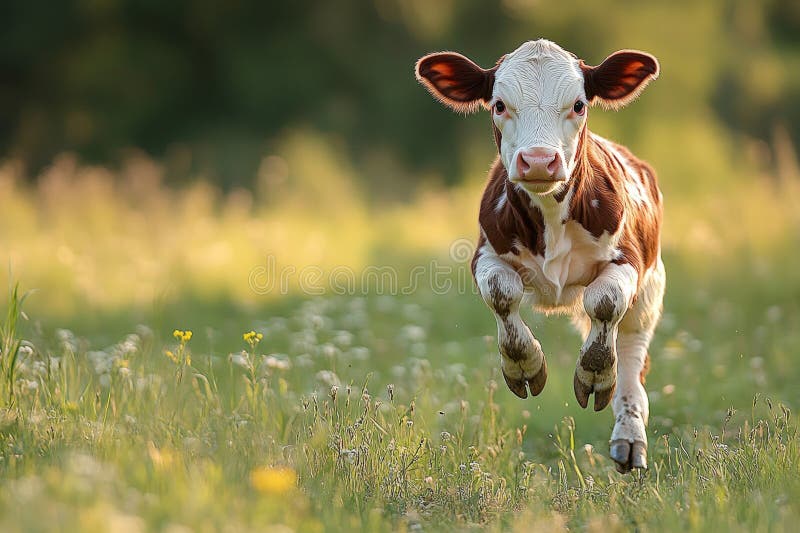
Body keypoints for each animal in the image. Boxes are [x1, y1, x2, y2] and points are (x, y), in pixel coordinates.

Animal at [415, 39, 664, 473]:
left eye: (579, 104)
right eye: (499, 104)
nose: (537, 161)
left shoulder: (629, 259)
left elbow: (605, 301)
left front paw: (594, 372)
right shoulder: (484, 254)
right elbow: (501, 294)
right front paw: (524, 365)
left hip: (651, 293)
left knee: (633, 359)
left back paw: (630, 438)